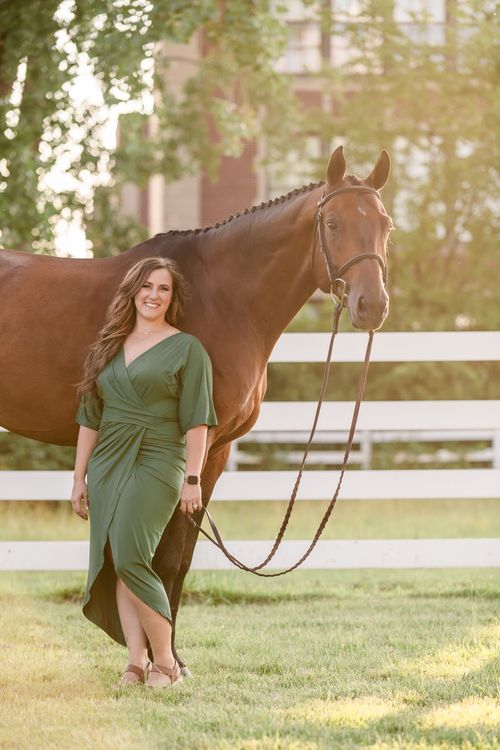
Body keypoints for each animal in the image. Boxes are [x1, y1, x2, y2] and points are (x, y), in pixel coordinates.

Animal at [0, 145, 392, 667]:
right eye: (333, 224)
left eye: (386, 224)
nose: (372, 306)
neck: (222, 298)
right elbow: (164, 556)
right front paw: (158, 659)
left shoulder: (215, 453)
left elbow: (181, 559)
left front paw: (168, 657)